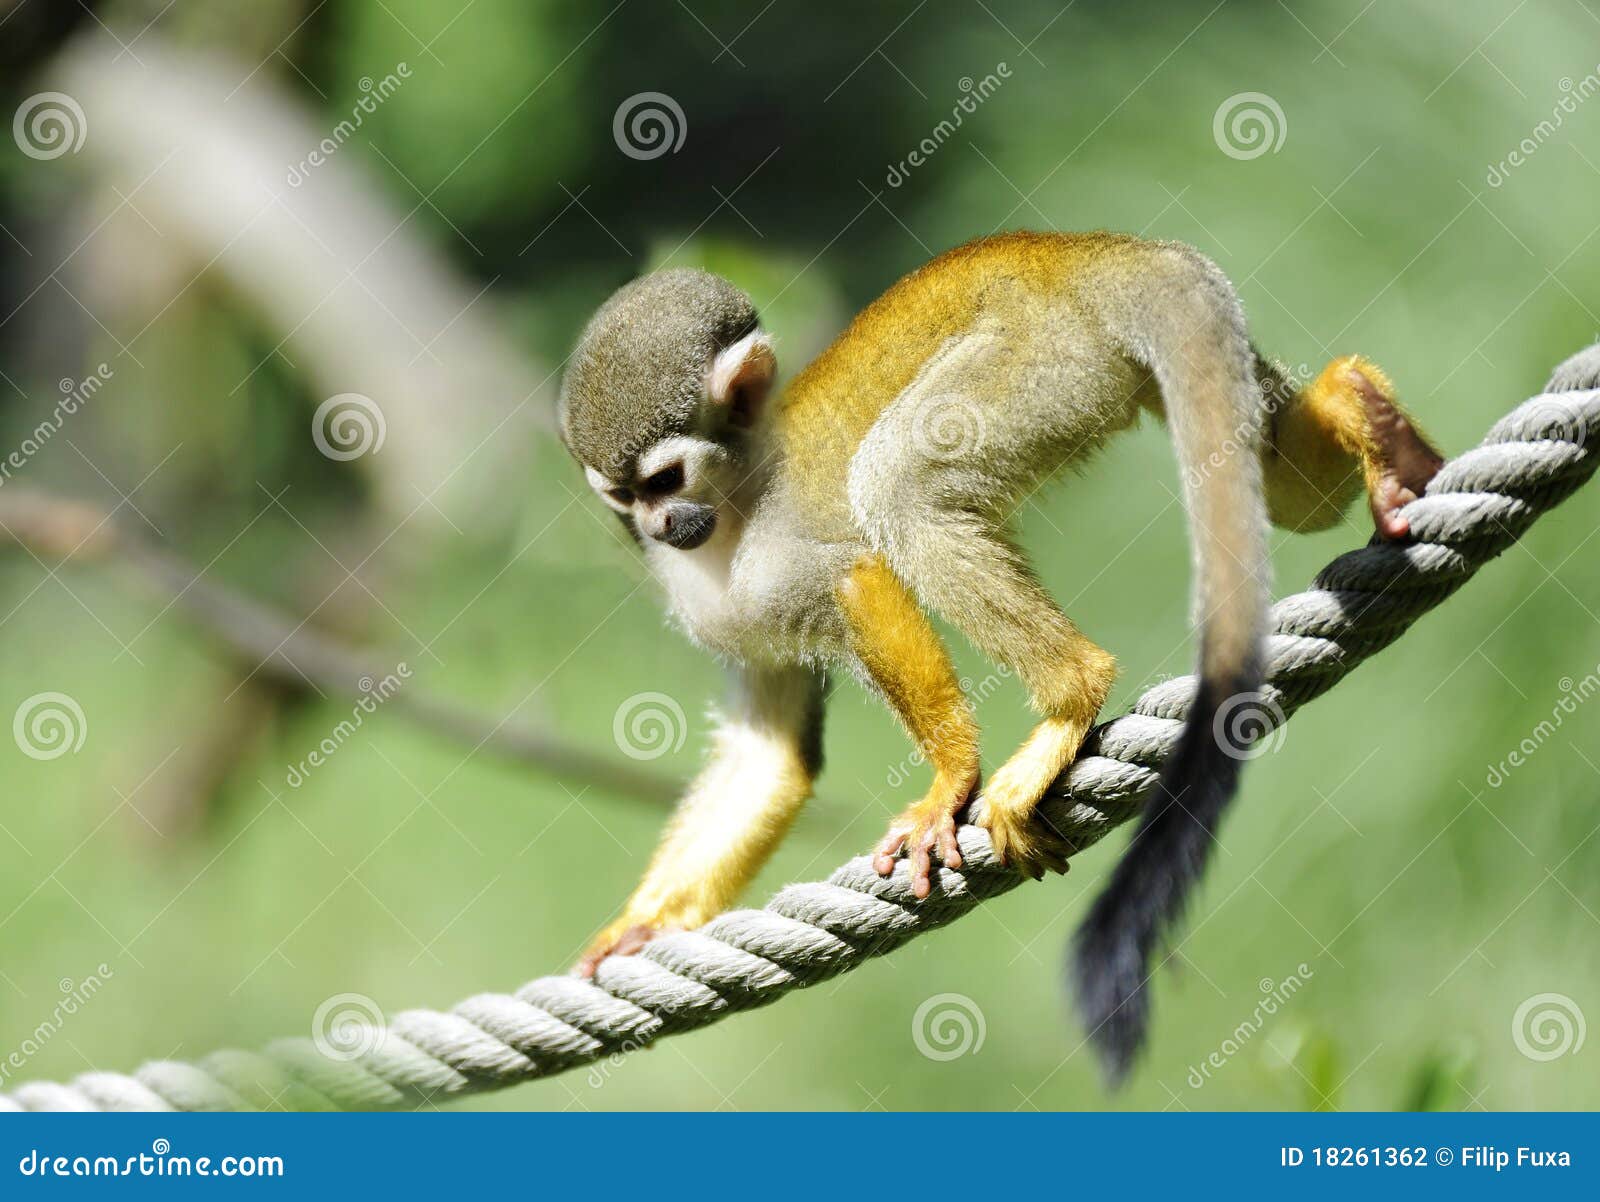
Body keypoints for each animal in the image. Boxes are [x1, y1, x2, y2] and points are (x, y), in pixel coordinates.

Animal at [558, 232, 1443, 1079]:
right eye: (624, 497)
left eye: (667, 479)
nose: (660, 527)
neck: (732, 516)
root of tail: (1086, 253)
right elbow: (772, 757)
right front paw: (641, 925)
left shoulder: (793, 552)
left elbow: (863, 572)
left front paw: (950, 780)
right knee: (1291, 492)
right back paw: (1365, 410)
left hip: (1035, 363)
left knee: (899, 485)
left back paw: (1070, 695)